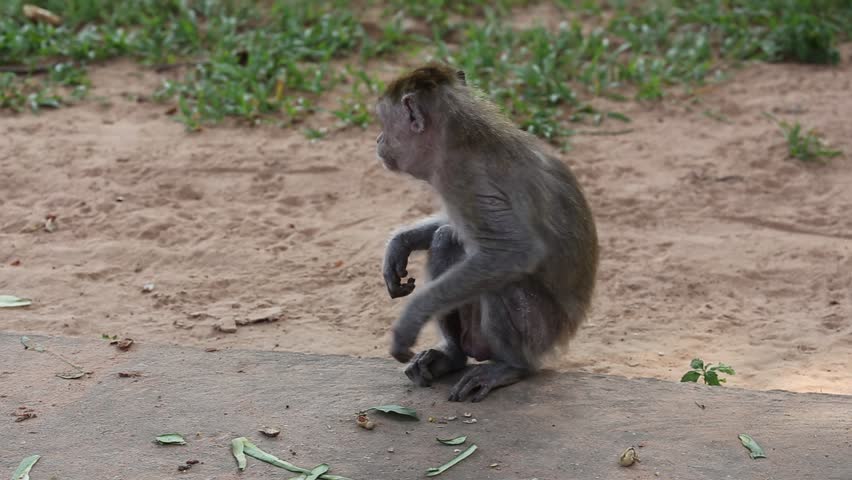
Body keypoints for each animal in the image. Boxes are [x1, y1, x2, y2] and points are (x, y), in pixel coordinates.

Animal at [375, 62, 598, 402]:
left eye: (384, 123)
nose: (378, 140)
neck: (460, 137)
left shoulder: (463, 178)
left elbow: (513, 252)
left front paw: (411, 319)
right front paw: (401, 243)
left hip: (540, 335)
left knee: (499, 280)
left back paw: (512, 366)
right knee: (447, 240)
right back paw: (453, 354)